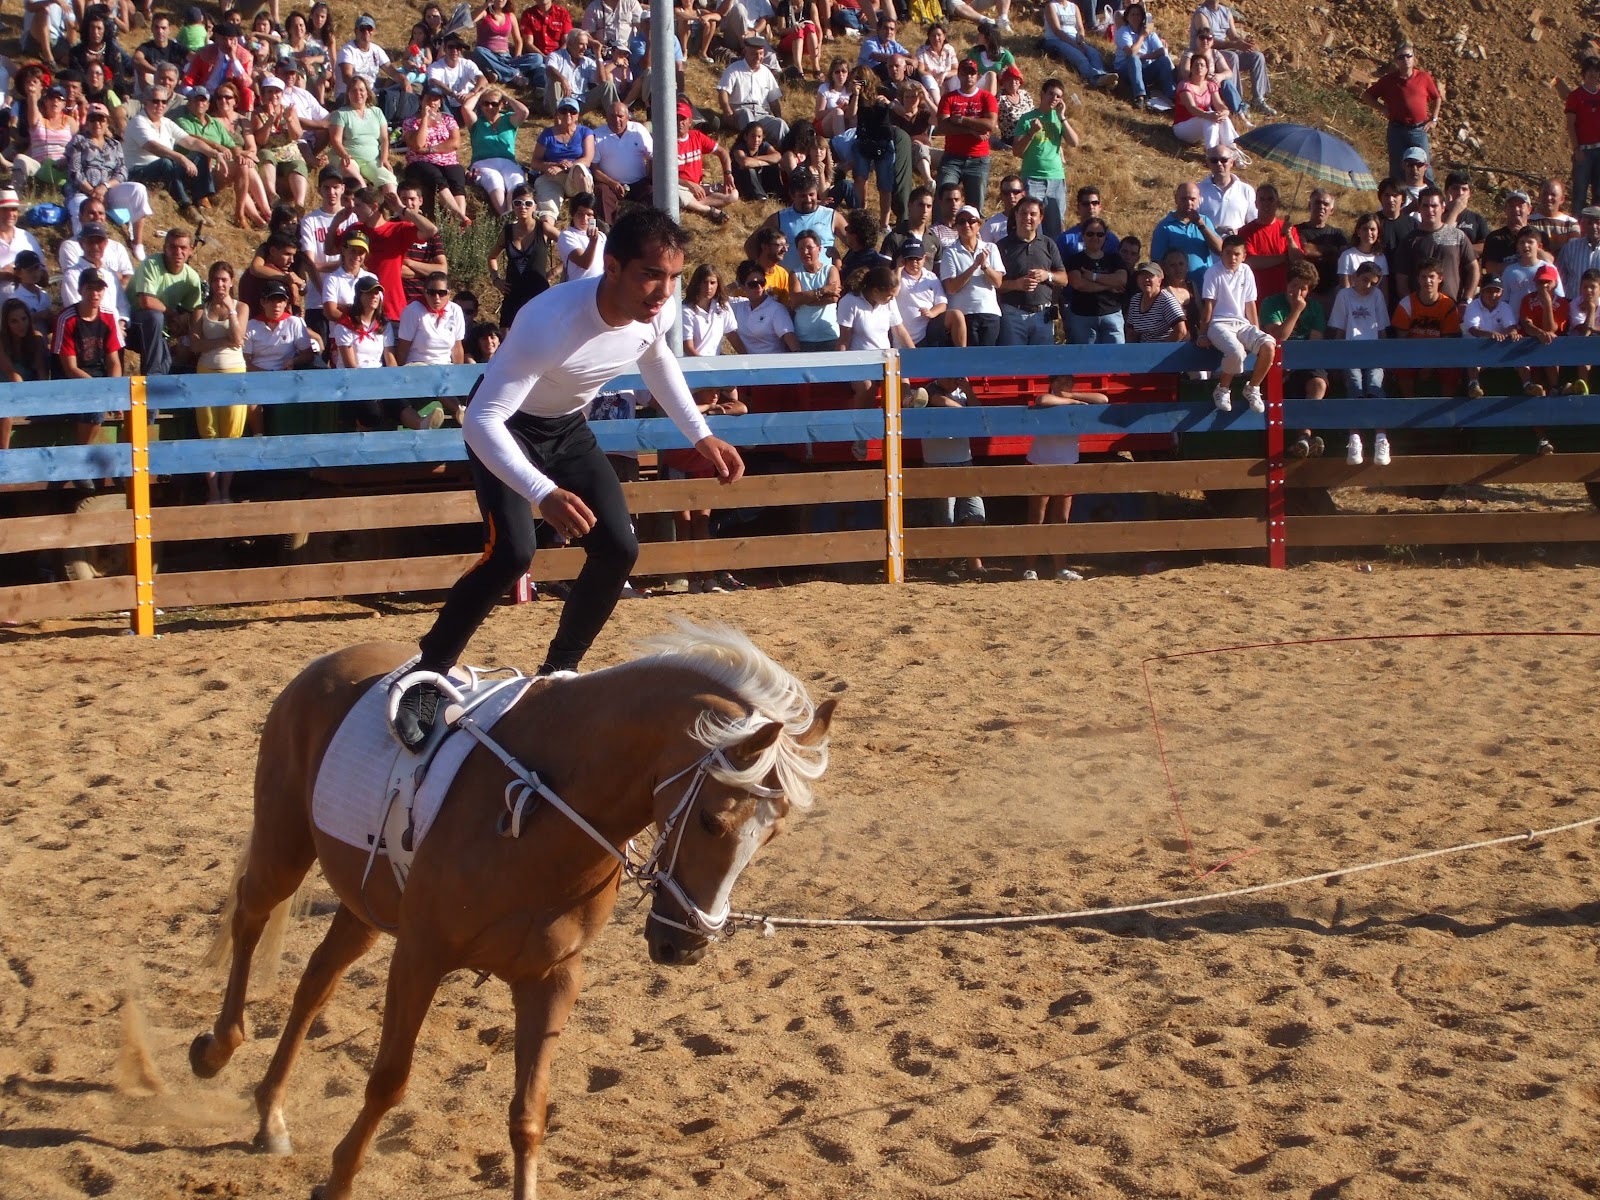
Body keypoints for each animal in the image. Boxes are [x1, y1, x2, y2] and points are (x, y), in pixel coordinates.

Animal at [189, 622, 836, 1200]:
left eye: (773, 834)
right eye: (710, 820)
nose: (687, 944)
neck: (544, 803)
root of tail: (330, 662)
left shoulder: (552, 978)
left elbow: (528, 1114)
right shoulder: (421, 954)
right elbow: (389, 1080)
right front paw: (341, 1179)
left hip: (366, 902)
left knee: (315, 982)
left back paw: (270, 1114)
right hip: (285, 844)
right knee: (250, 918)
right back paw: (217, 1050)